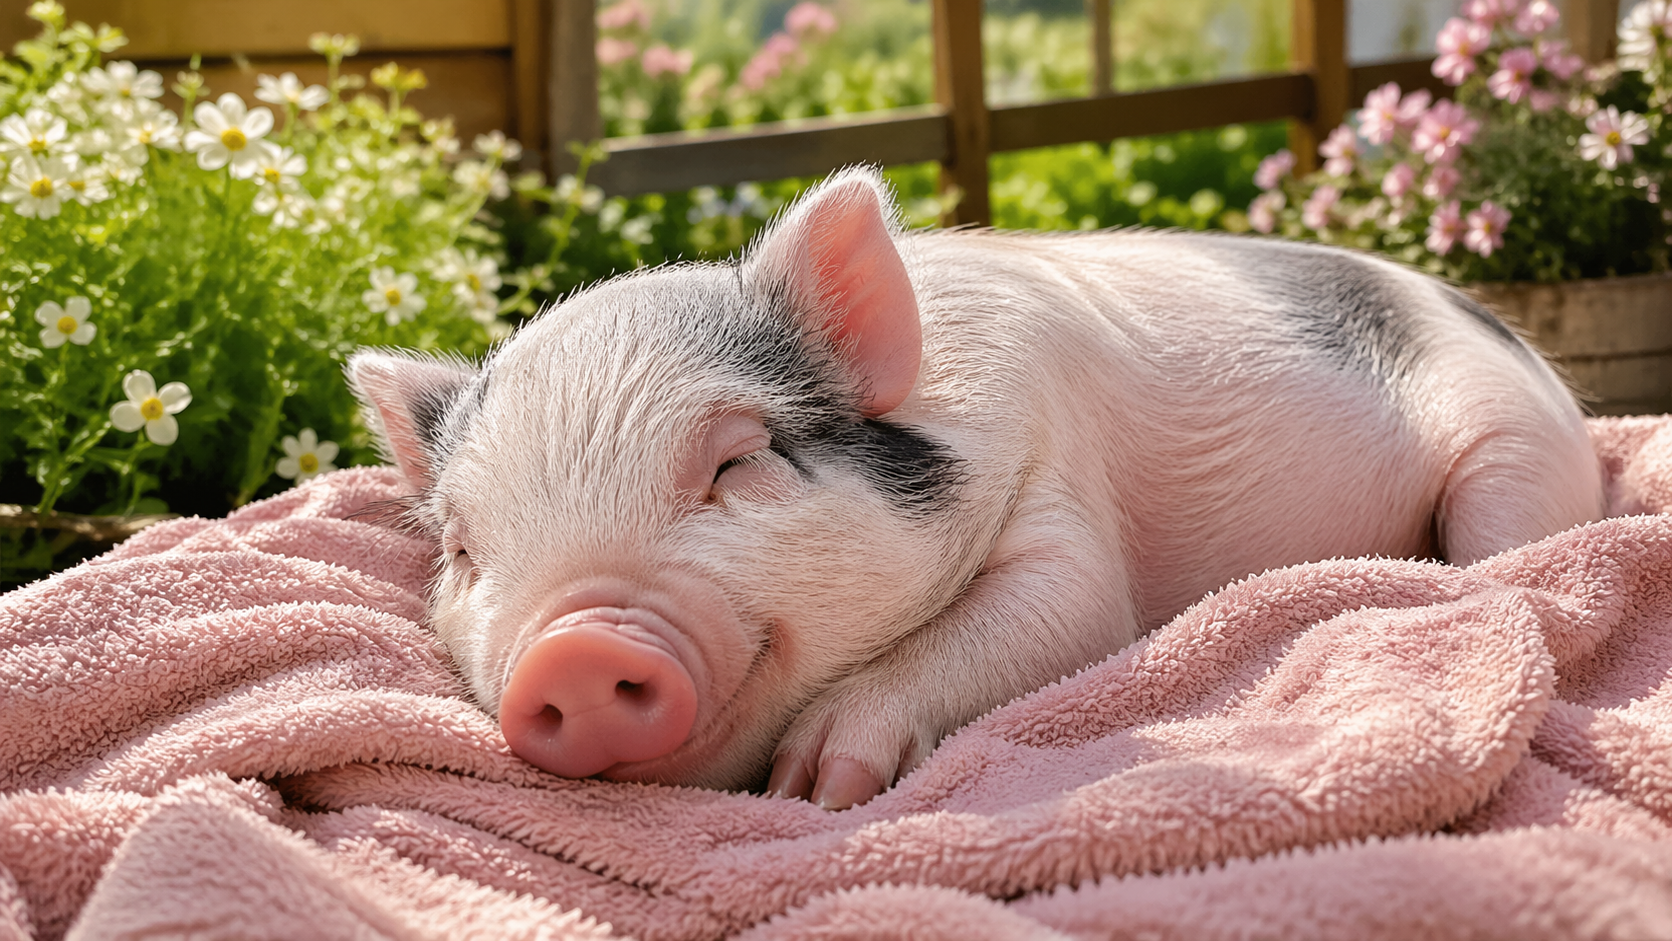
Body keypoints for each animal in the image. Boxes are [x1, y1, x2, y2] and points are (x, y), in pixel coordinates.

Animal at [348, 166, 1603, 810]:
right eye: (462, 550)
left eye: (738, 461)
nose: (569, 649)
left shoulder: (1063, 503)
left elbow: (1055, 607)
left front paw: (822, 784)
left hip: (1509, 450)